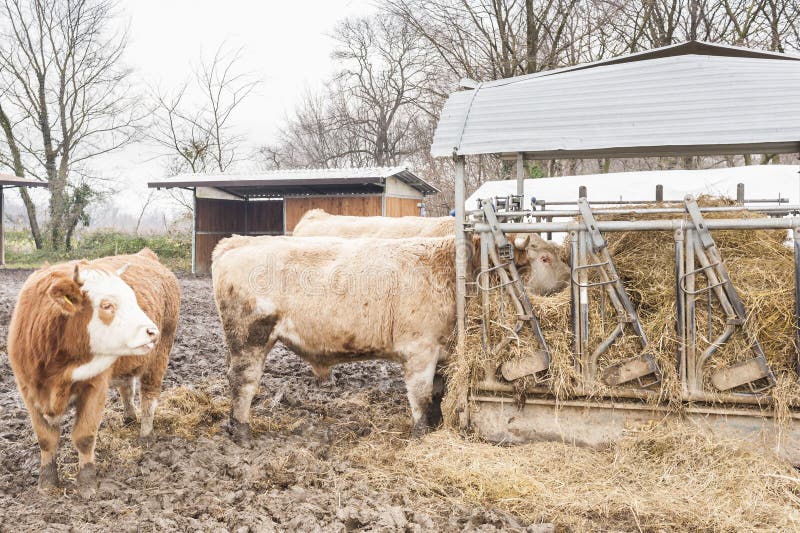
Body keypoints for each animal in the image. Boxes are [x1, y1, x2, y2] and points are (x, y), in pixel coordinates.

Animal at [7, 249, 179, 496]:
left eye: (133, 298)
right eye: (107, 305)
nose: (151, 331)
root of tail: (146, 255)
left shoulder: (95, 387)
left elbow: (85, 436)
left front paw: (87, 481)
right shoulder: (28, 390)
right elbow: (46, 439)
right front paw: (47, 481)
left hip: (161, 355)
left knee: (149, 397)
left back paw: (145, 434)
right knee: (127, 388)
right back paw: (129, 417)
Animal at [212, 235, 462, 444]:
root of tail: (238, 241)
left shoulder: (442, 354)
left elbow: (437, 394)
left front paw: (437, 427)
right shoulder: (419, 350)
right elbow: (421, 397)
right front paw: (421, 435)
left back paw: (232, 426)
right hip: (250, 336)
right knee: (243, 380)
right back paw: (242, 433)